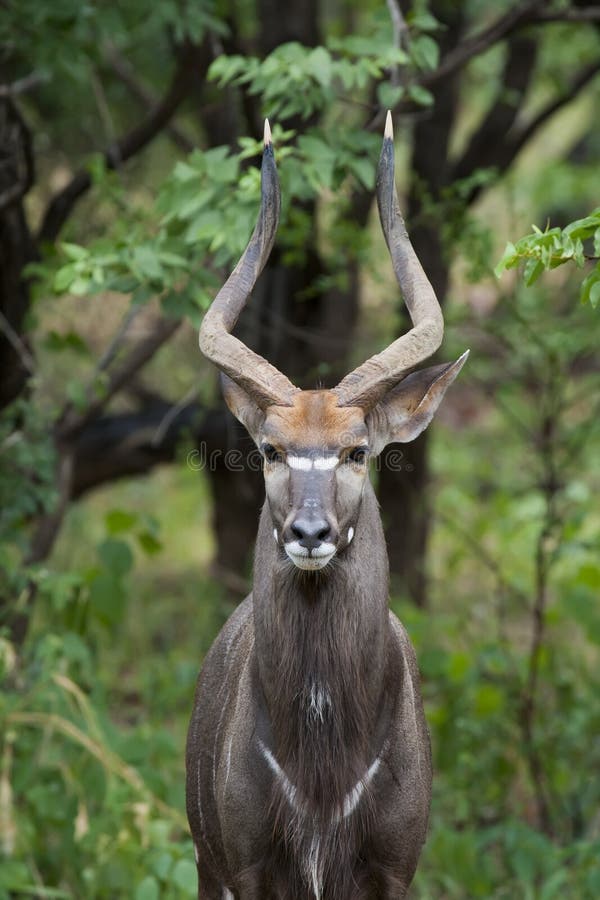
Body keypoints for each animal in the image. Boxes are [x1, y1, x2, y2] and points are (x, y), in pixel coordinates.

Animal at [186, 112, 468, 899]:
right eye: (272, 449)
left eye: (356, 452)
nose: (309, 533)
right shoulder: (249, 870)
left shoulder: (393, 869)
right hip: (205, 865)